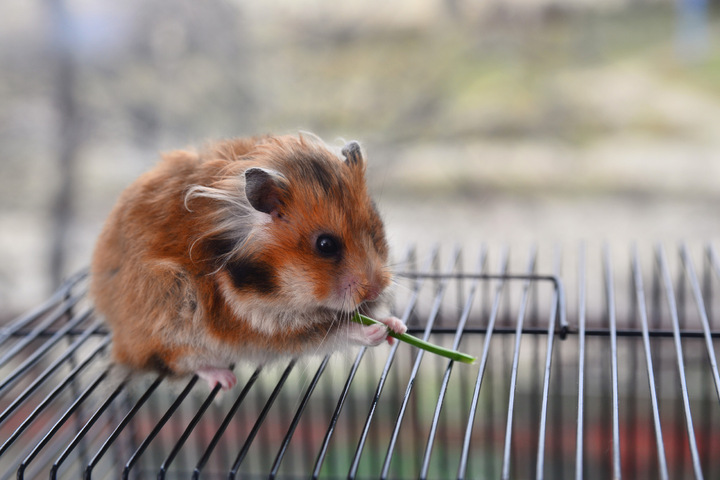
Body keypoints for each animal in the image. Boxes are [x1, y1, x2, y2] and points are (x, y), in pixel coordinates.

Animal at [90, 133, 406, 390]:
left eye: (375, 229)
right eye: (325, 245)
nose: (376, 290)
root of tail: (119, 340)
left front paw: (397, 327)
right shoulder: (262, 325)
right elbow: (332, 332)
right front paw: (377, 332)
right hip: (171, 319)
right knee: (178, 360)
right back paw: (225, 380)